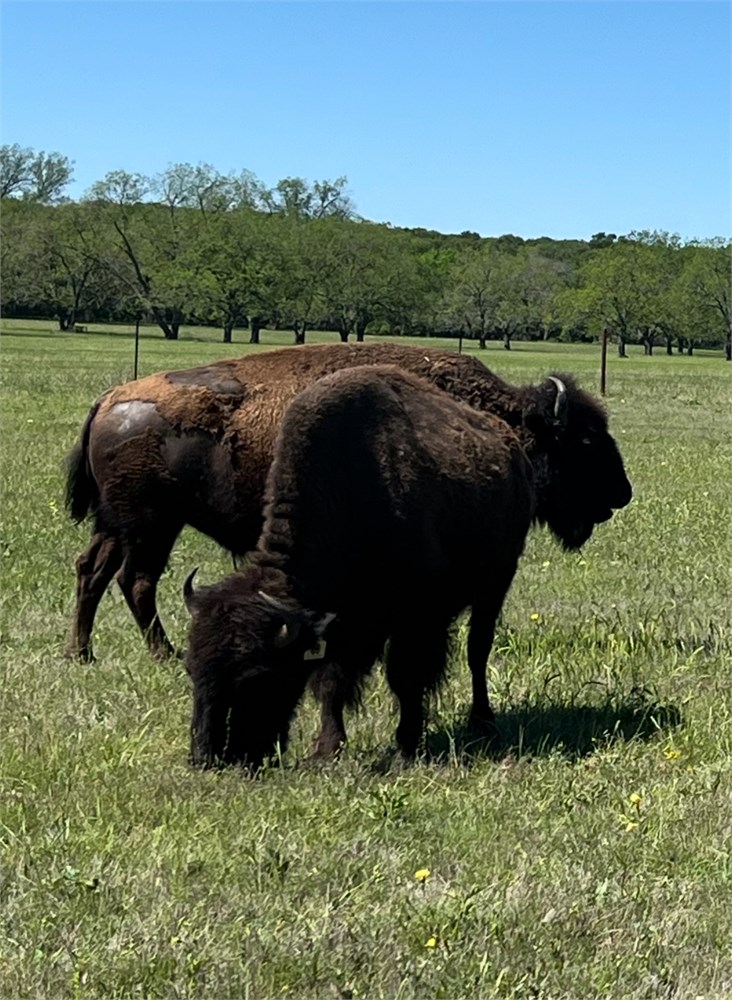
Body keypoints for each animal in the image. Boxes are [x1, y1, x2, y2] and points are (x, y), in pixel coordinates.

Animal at [65, 342, 631, 661]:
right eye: (585, 439)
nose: (621, 493)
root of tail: (109, 400)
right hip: (152, 524)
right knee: (135, 581)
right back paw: (164, 653)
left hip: (117, 524)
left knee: (92, 571)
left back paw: (82, 652)